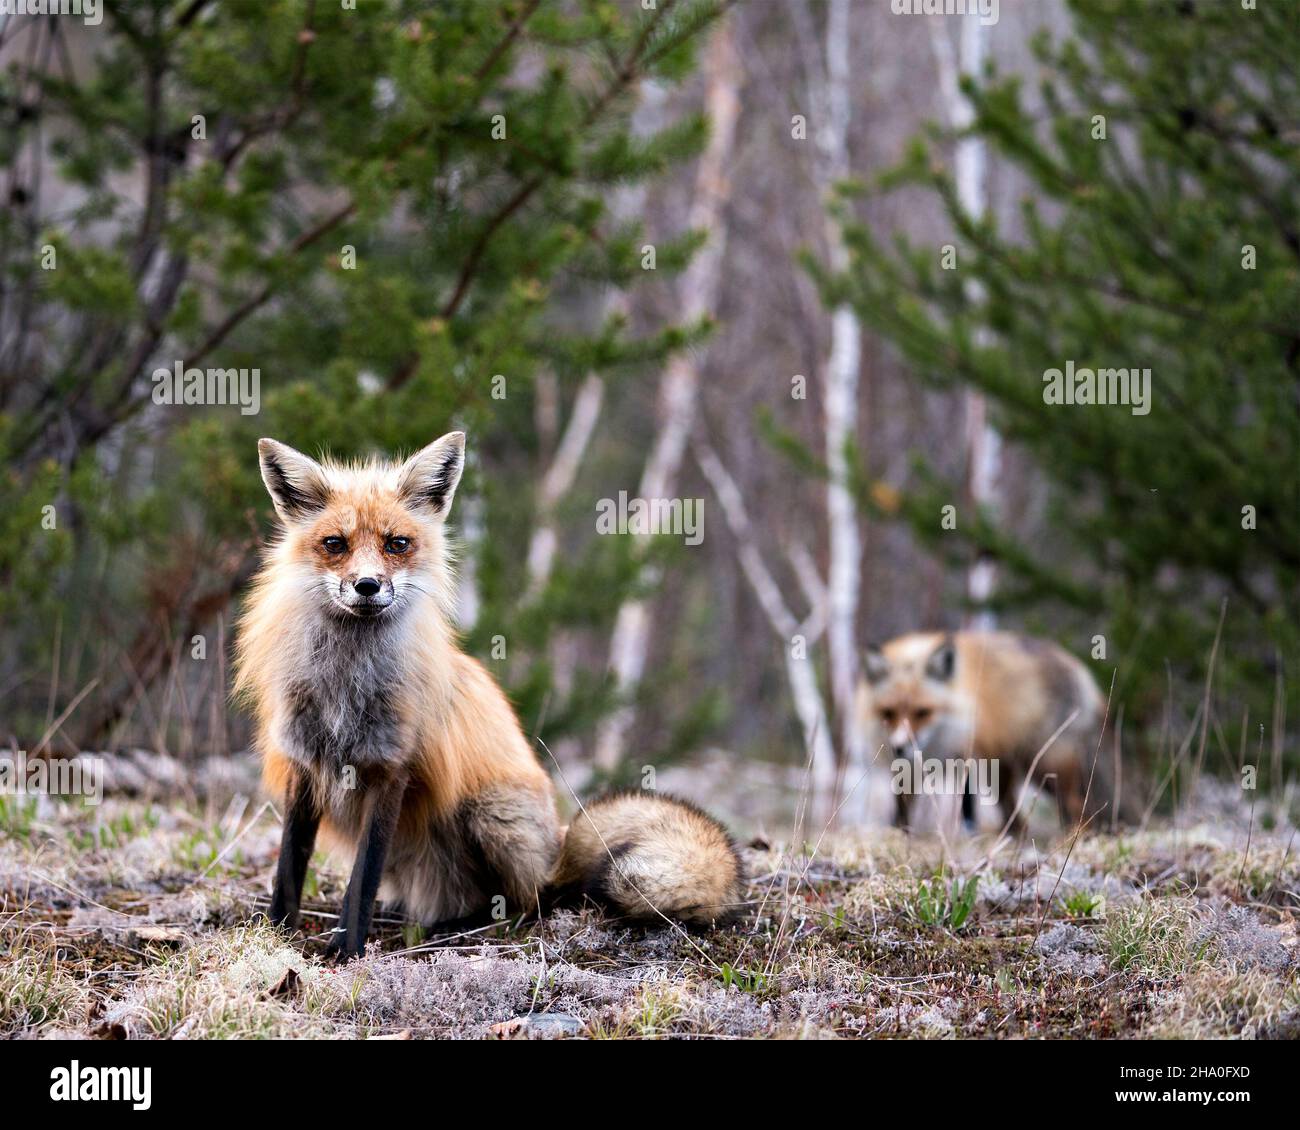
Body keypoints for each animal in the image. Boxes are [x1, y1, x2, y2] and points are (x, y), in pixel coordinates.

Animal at [233, 432, 743, 960]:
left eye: (397, 544)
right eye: (335, 544)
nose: (367, 585)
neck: (345, 686)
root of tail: (553, 855)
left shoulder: (390, 769)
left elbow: (361, 881)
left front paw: (349, 950)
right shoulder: (303, 764)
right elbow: (288, 869)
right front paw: (277, 938)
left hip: (491, 816)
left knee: (530, 902)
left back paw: (461, 927)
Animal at [857, 630, 1118, 834]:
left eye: (922, 712)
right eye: (888, 712)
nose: (899, 747)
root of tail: (1078, 667)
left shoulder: (969, 755)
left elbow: (967, 806)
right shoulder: (907, 770)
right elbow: (902, 809)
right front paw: (901, 835)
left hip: (1046, 766)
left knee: (1078, 806)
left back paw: (1074, 837)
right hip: (1010, 767)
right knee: (1015, 809)